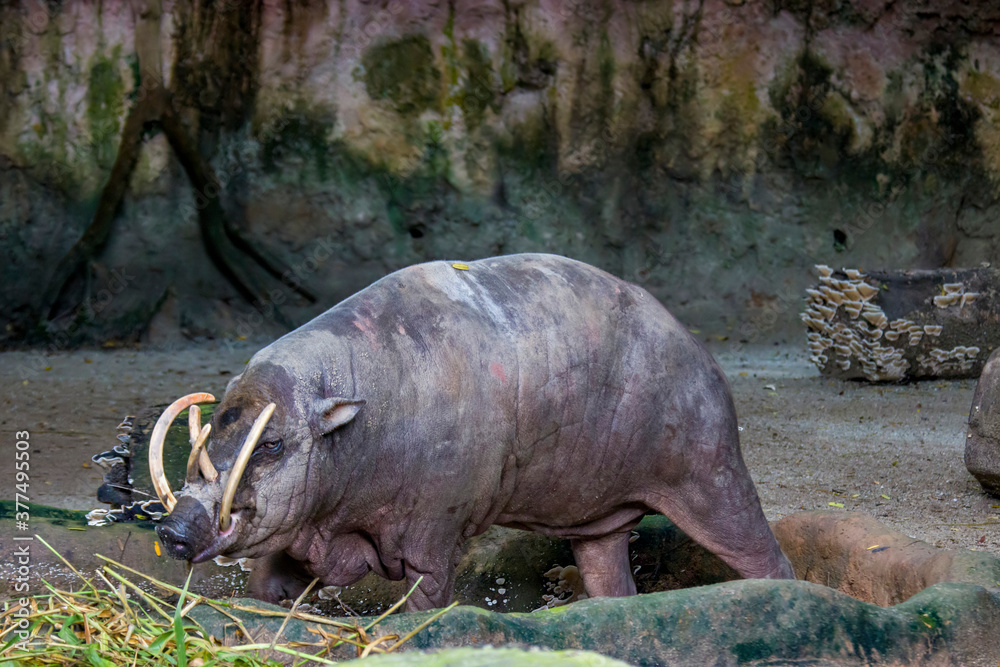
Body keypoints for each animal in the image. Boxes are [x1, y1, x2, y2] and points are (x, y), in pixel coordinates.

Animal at [151, 253, 794, 611]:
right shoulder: (308, 531)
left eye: (272, 444)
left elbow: (426, 602)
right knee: (612, 580)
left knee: (766, 557)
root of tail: (705, 356)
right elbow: (267, 585)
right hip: (600, 521)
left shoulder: (433, 532)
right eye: (213, 427)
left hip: (708, 471)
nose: (175, 528)